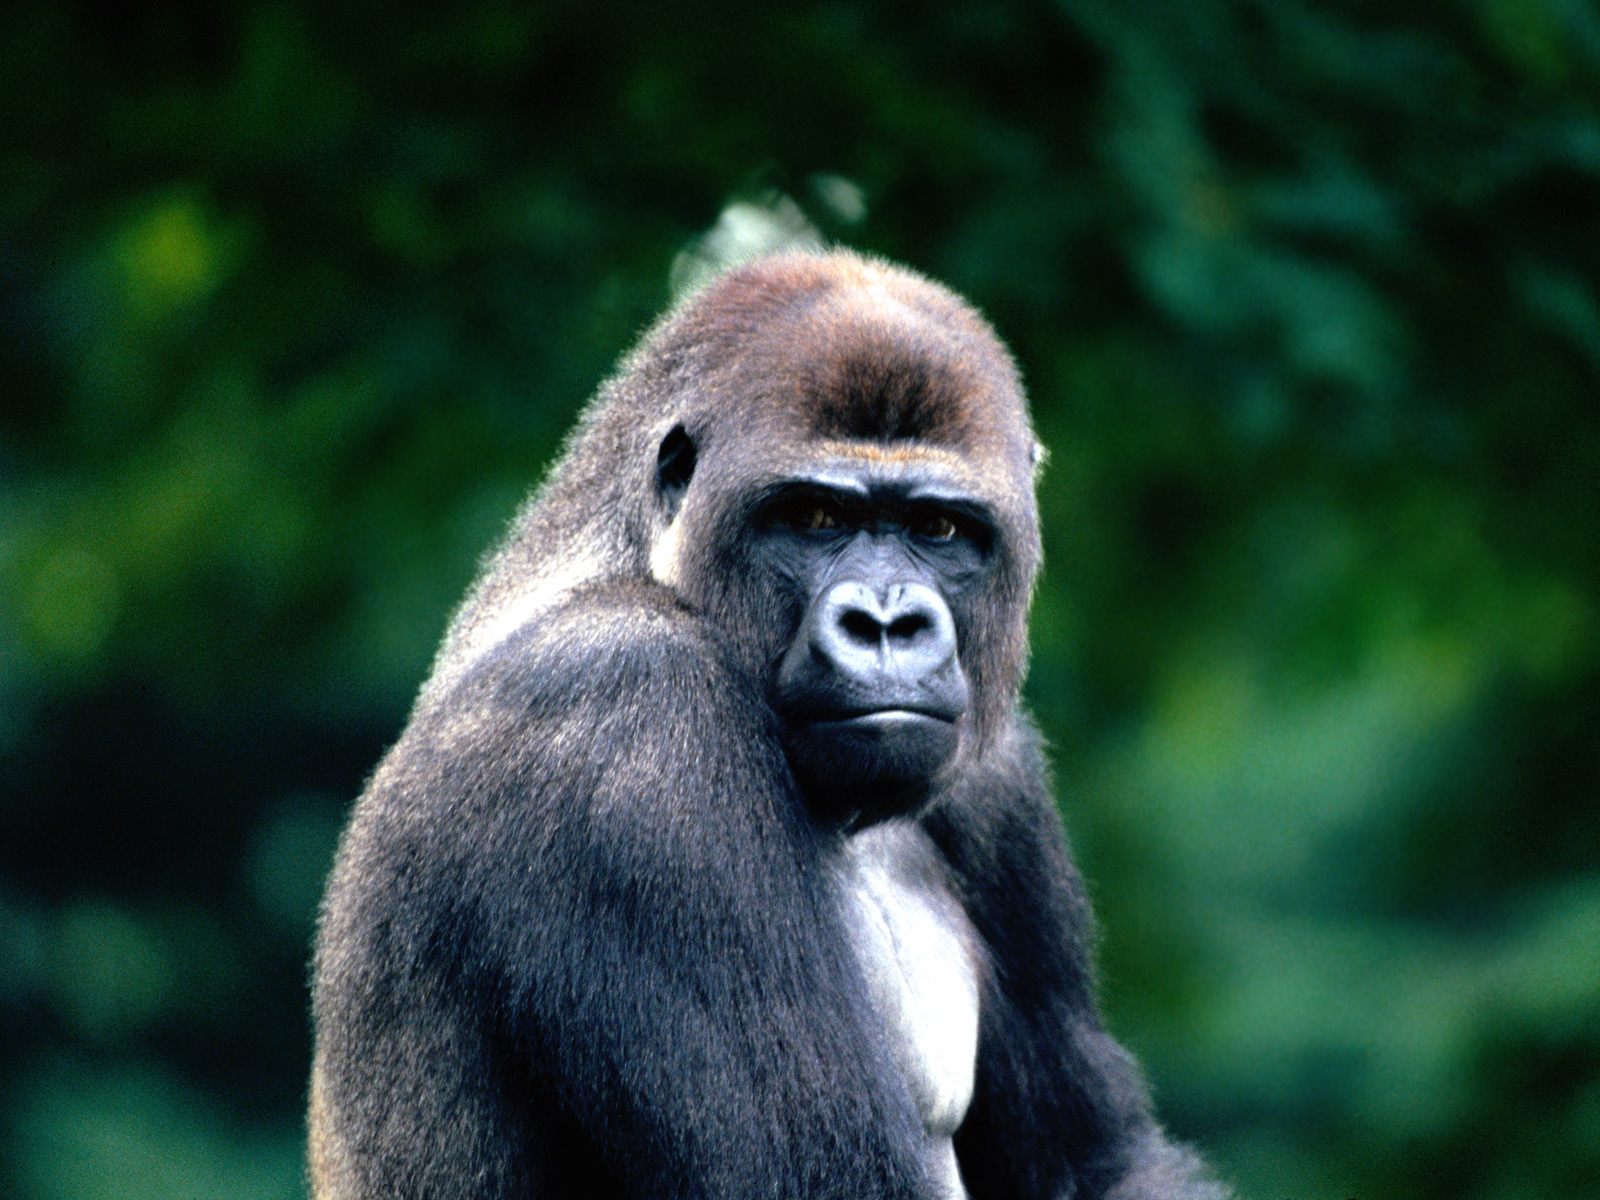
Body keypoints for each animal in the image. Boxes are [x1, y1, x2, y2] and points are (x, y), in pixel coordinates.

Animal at [308, 249, 1229, 1200]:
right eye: (816, 518)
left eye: (939, 527)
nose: (888, 623)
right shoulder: (629, 715)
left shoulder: (998, 773)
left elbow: (1099, 1156)